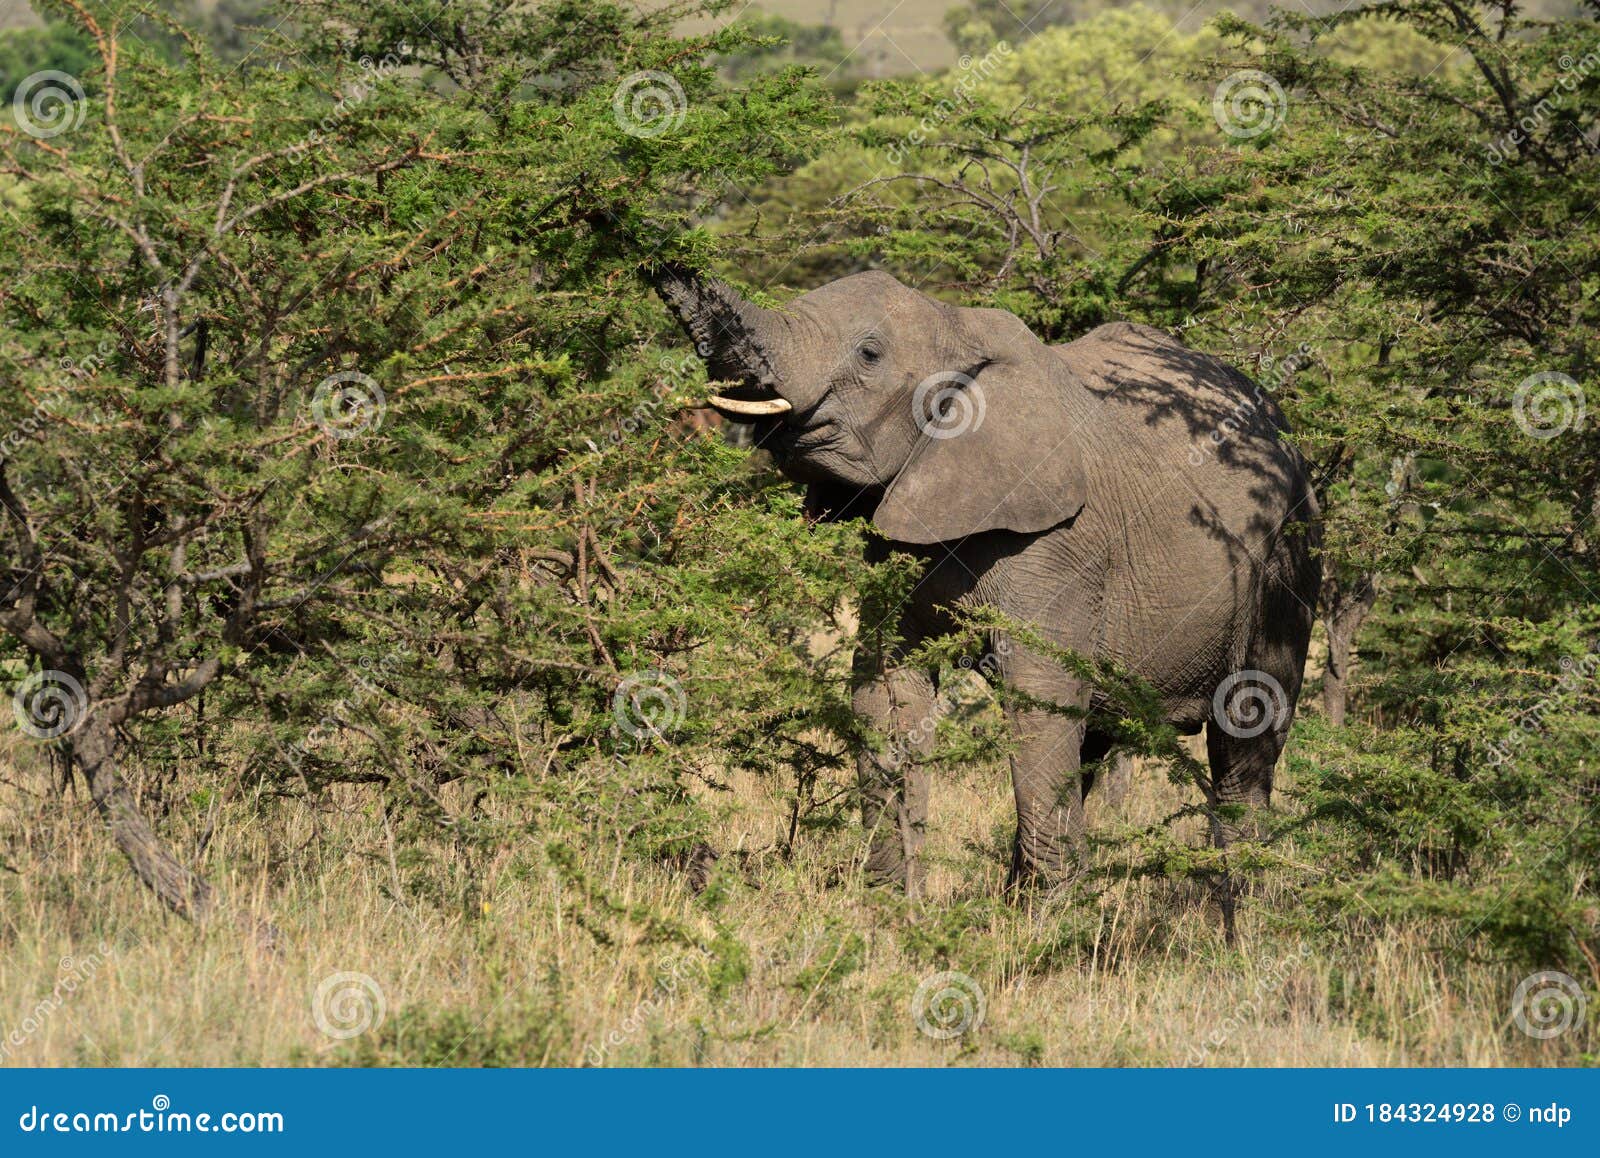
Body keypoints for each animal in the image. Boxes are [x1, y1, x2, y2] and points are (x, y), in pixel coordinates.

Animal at [650, 263, 1321, 896]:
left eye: (869, 354)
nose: (657, 254)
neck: (957, 323)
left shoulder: (1060, 542)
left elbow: (1040, 695)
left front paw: (1051, 927)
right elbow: (884, 690)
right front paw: (893, 907)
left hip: (1289, 555)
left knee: (1246, 728)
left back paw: (1238, 906)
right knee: (1097, 738)